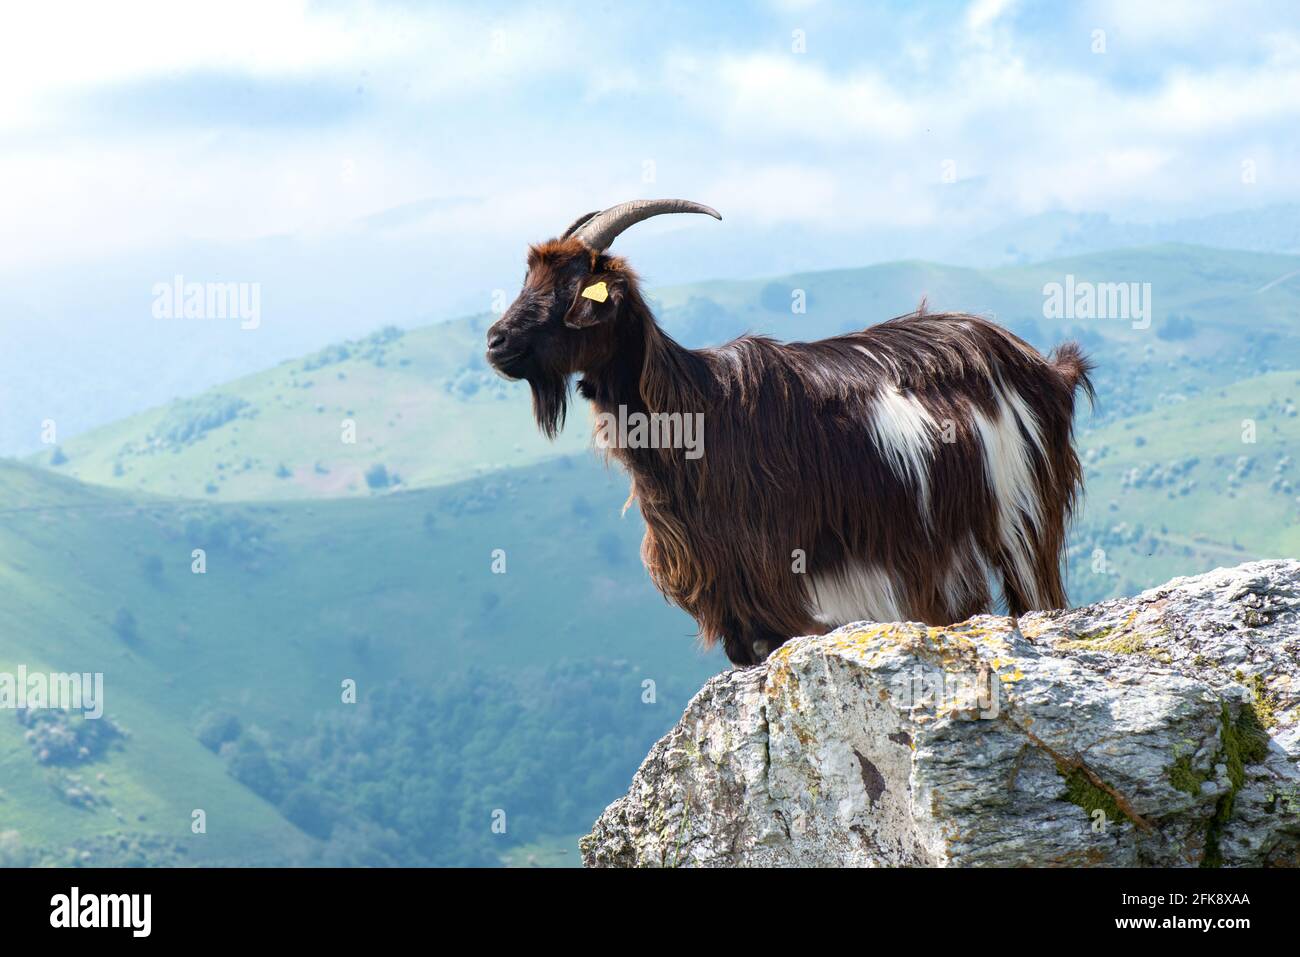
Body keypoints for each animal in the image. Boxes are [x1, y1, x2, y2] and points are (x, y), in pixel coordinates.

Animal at [486, 199, 1095, 667]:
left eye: (571, 287)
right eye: (529, 279)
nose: (495, 342)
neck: (695, 408)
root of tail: (1044, 367)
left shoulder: (770, 562)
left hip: (1019, 507)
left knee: (1036, 591)